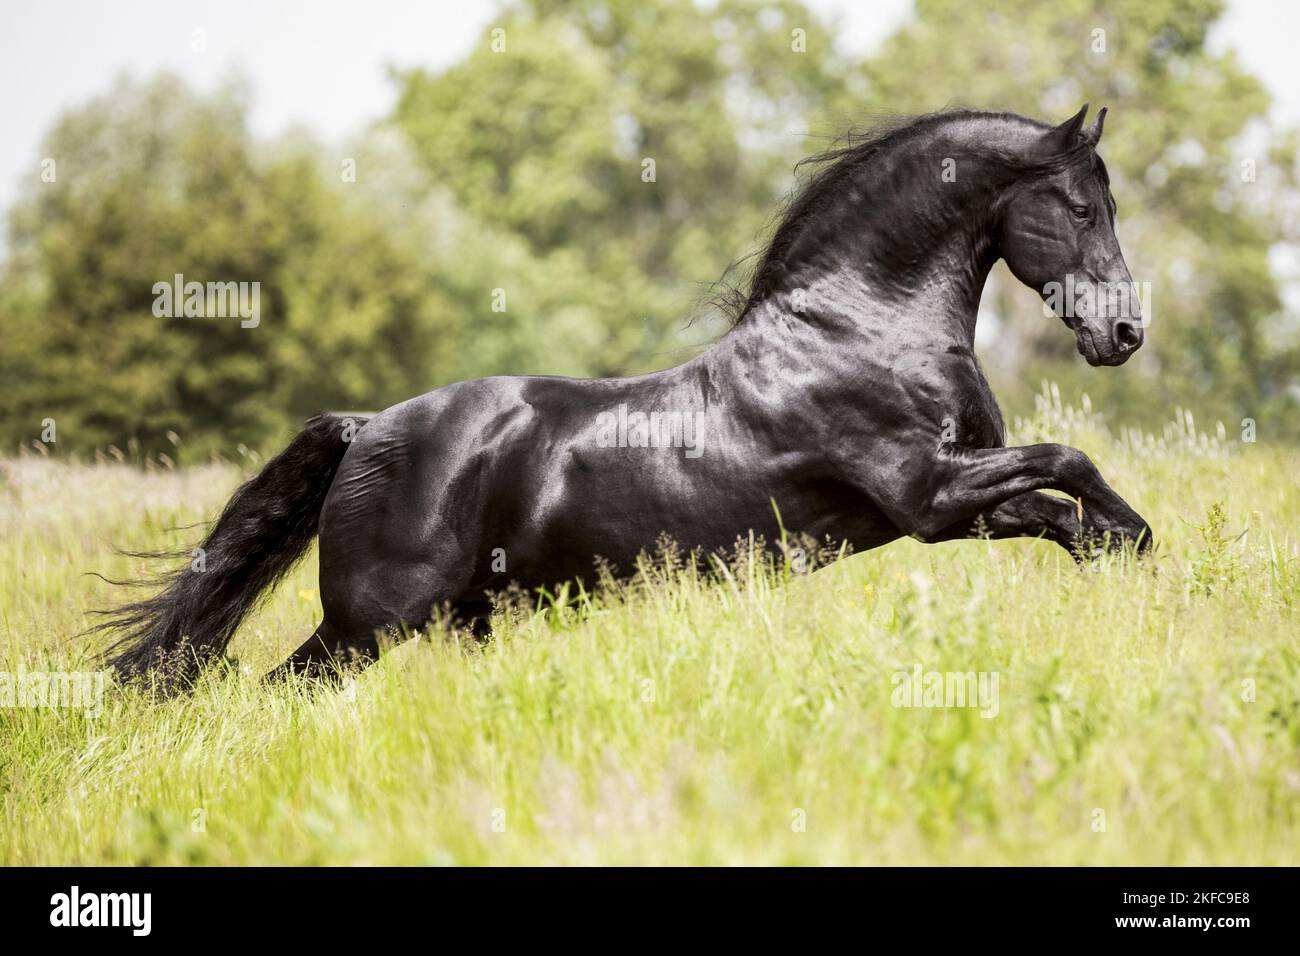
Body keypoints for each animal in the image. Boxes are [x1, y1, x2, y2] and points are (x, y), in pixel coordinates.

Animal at [98, 104, 1152, 689]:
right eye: (1081, 207)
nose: (1124, 336)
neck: (860, 326)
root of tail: (368, 431)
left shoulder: (948, 503)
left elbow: (1051, 506)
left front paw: (1116, 547)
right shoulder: (925, 494)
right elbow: (1068, 459)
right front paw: (1137, 539)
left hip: (464, 618)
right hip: (368, 624)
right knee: (282, 688)